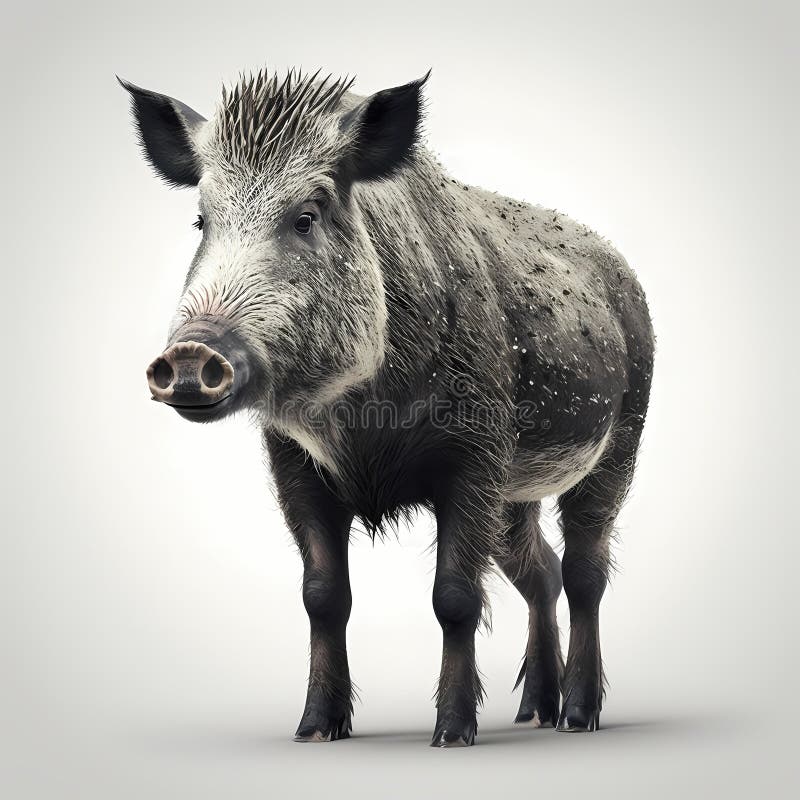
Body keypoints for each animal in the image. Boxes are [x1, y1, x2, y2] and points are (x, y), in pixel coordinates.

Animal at [120, 68, 654, 746]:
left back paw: (577, 721)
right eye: (201, 221)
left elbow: (454, 598)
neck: (359, 424)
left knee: (587, 571)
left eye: (307, 216)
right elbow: (322, 596)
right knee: (542, 572)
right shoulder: (293, 464)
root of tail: (624, 271)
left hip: (623, 438)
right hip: (517, 495)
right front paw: (313, 731)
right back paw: (534, 713)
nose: (191, 353)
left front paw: (451, 736)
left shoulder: (475, 455)